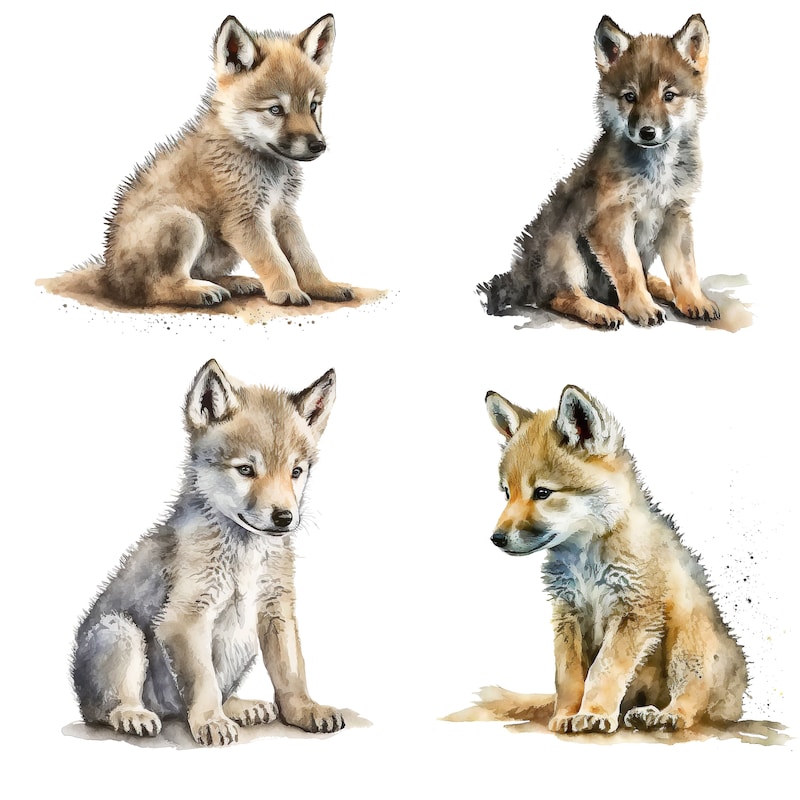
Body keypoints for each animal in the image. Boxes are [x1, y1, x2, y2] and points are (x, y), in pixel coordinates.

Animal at [61, 14, 352, 308]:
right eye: (275, 110)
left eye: (313, 106)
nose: (318, 145)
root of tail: (109, 275)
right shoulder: (244, 219)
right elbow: (276, 261)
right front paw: (288, 291)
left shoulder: (284, 213)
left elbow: (305, 257)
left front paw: (323, 286)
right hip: (185, 222)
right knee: (157, 288)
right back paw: (201, 291)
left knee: (201, 273)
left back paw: (234, 282)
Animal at [72, 360, 346, 746]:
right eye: (245, 469)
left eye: (296, 471)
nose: (284, 518)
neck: (244, 553)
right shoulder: (184, 618)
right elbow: (203, 682)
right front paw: (210, 722)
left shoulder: (276, 610)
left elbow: (291, 672)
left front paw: (306, 710)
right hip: (119, 632)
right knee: (104, 707)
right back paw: (132, 714)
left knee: (221, 690)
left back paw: (240, 707)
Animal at [453, 385, 747, 733]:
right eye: (506, 493)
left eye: (542, 493)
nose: (496, 538)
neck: (586, 564)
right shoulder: (567, 614)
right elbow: (569, 678)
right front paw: (566, 716)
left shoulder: (635, 613)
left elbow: (603, 671)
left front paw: (593, 713)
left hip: (689, 636)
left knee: (694, 699)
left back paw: (666, 715)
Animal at [480, 15, 719, 328]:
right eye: (630, 96)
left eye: (669, 96)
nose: (647, 132)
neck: (655, 170)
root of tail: (523, 276)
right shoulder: (610, 219)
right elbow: (629, 270)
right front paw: (641, 306)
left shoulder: (674, 214)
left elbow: (684, 270)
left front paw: (693, 300)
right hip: (565, 247)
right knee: (558, 296)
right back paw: (601, 311)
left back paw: (658, 287)